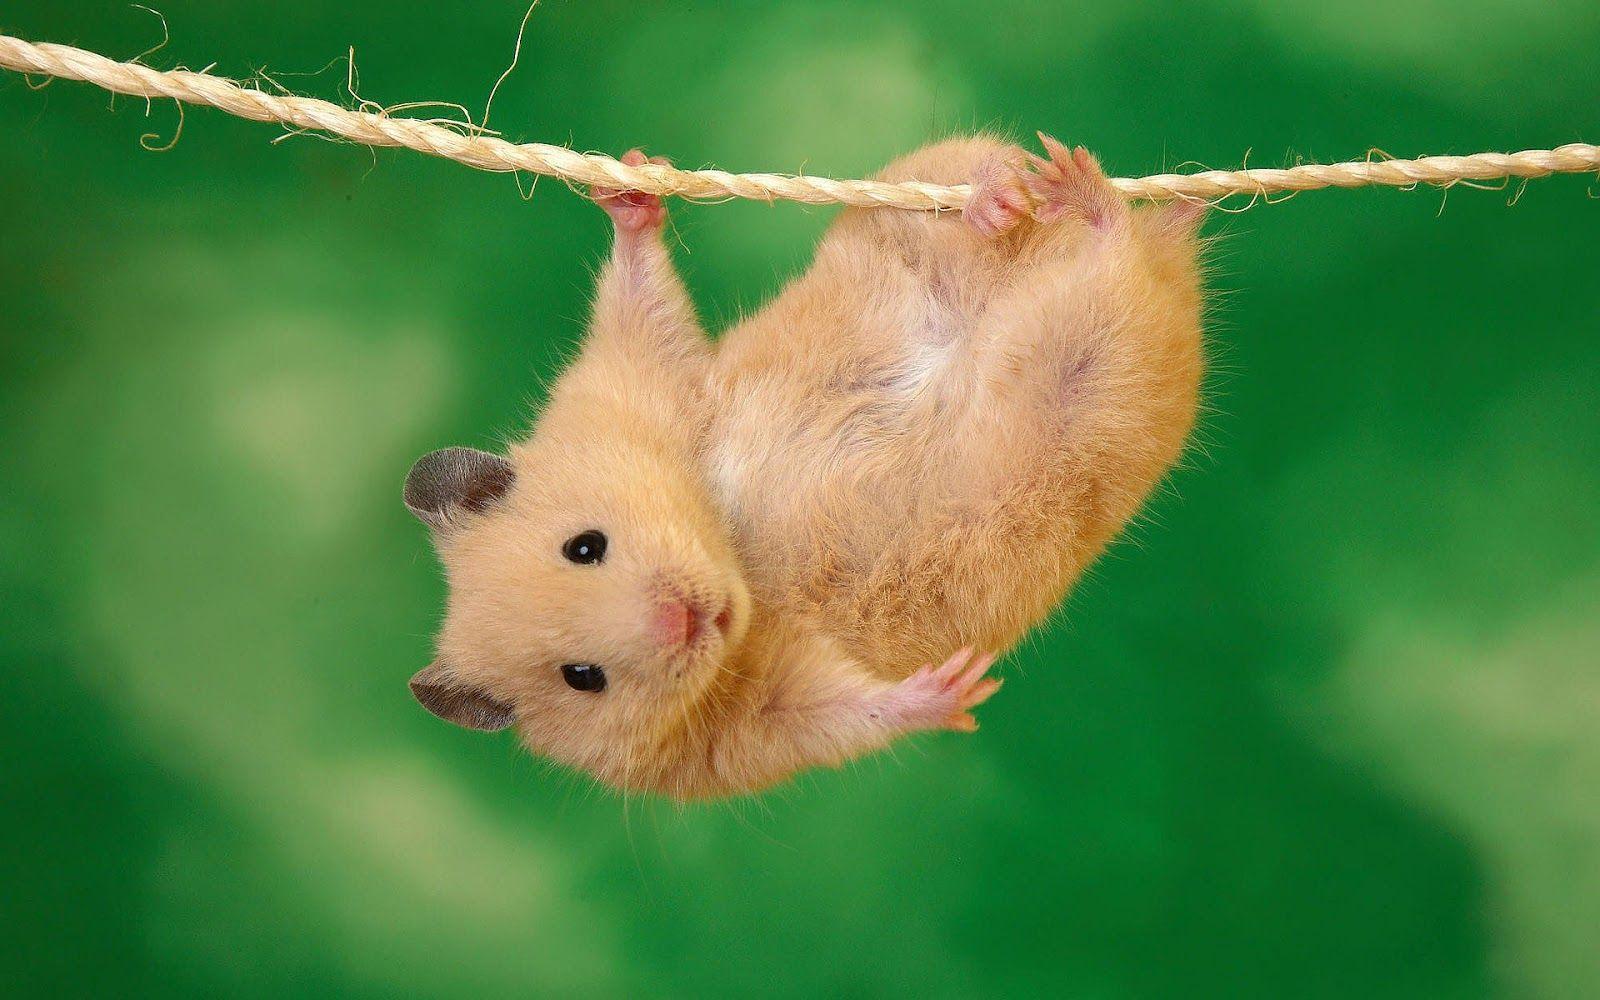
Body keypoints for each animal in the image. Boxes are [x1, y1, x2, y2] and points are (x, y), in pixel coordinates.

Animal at [404, 136, 1206, 800]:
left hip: (903, 220)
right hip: (1097, 374)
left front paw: (629, 183)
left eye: (584, 546)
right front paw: (958, 688)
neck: (734, 554)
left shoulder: (644, 382)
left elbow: (642, 302)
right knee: (1116, 268)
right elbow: (848, 712)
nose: (687, 618)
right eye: (582, 678)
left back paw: (1025, 192)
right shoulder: (749, 729)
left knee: (974, 183)